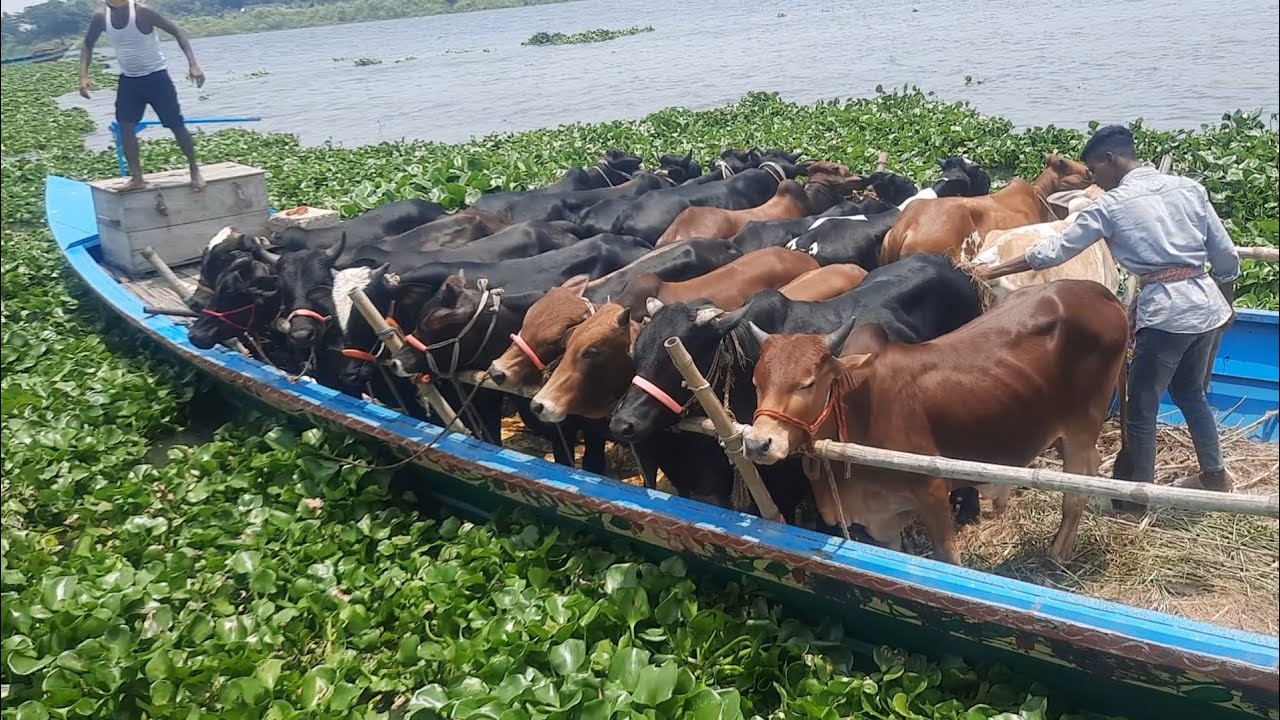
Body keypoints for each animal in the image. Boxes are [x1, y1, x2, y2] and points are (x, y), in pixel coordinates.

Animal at [742, 280, 1129, 565]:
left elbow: (947, 559)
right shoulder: (882, 520)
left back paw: (1056, 556)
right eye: (756, 383)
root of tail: (1098, 291)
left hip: (1082, 424)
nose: (758, 443)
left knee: (1074, 494)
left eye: (808, 384)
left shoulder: (932, 493)